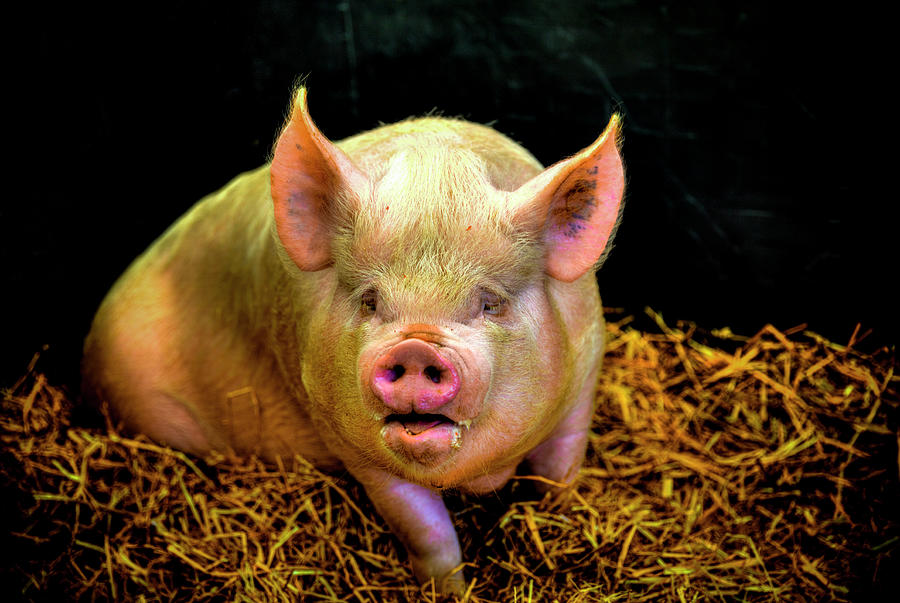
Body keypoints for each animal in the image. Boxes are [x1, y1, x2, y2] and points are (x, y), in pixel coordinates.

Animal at [81, 86, 625, 592]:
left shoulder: (585, 377)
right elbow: (425, 531)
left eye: (490, 302)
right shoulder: (347, 442)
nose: (415, 347)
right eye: (370, 300)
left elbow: (560, 472)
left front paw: (562, 525)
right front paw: (452, 591)